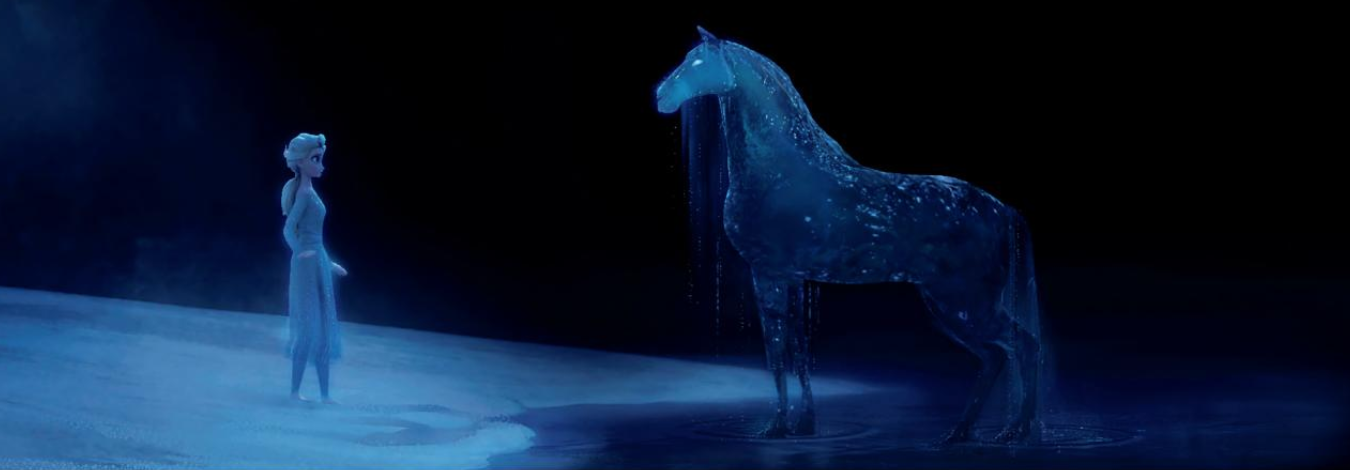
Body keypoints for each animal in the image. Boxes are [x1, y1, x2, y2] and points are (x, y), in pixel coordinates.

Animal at [655, 27, 1043, 445]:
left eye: (696, 62)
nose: (660, 95)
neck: (778, 169)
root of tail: (1003, 209)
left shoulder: (769, 274)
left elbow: (776, 352)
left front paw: (776, 427)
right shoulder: (794, 279)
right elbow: (798, 349)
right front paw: (804, 424)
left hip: (965, 304)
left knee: (1022, 345)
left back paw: (1015, 431)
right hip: (950, 306)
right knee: (995, 357)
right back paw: (961, 432)